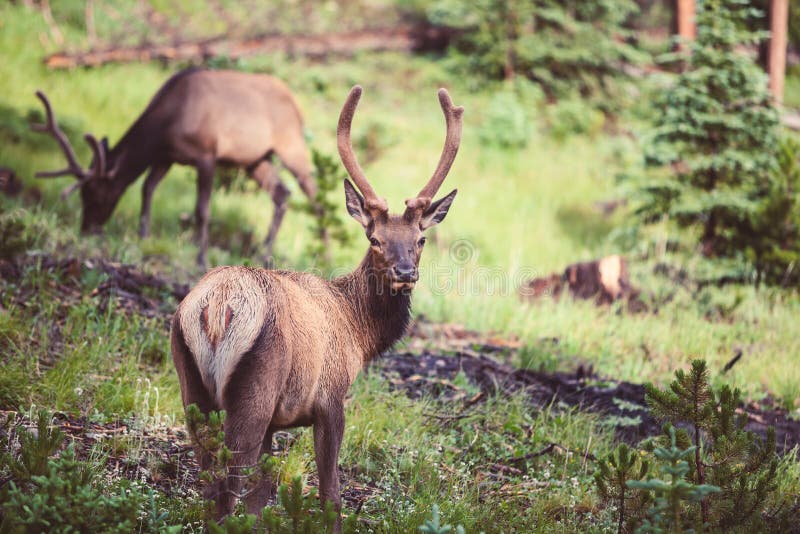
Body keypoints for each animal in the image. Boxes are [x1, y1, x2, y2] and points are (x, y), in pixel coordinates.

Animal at [32, 68, 320, 268]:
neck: (166, 125)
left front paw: (201, 258)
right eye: (82, 194)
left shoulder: (207, 154)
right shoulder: (166, 157)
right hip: (254, 160)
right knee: (282, 193)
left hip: (292, 145)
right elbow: (147, 188)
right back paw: (264, 254)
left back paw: (323, 252)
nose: (87, 228)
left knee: (314, 194)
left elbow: (202, 210)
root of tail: (298, 106)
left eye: (96, 194)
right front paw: (143, 236)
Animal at [170, 84, 463, 529]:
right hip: (255, 387)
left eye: (420, 239)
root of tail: (216, 308)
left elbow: (264, 491)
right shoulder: (330, 399)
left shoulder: (276, 422)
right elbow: (330, 495)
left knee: (209, 483)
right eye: (374, 239)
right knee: (226, 488)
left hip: (191, 381)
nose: (406, 271)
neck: (359, 334)